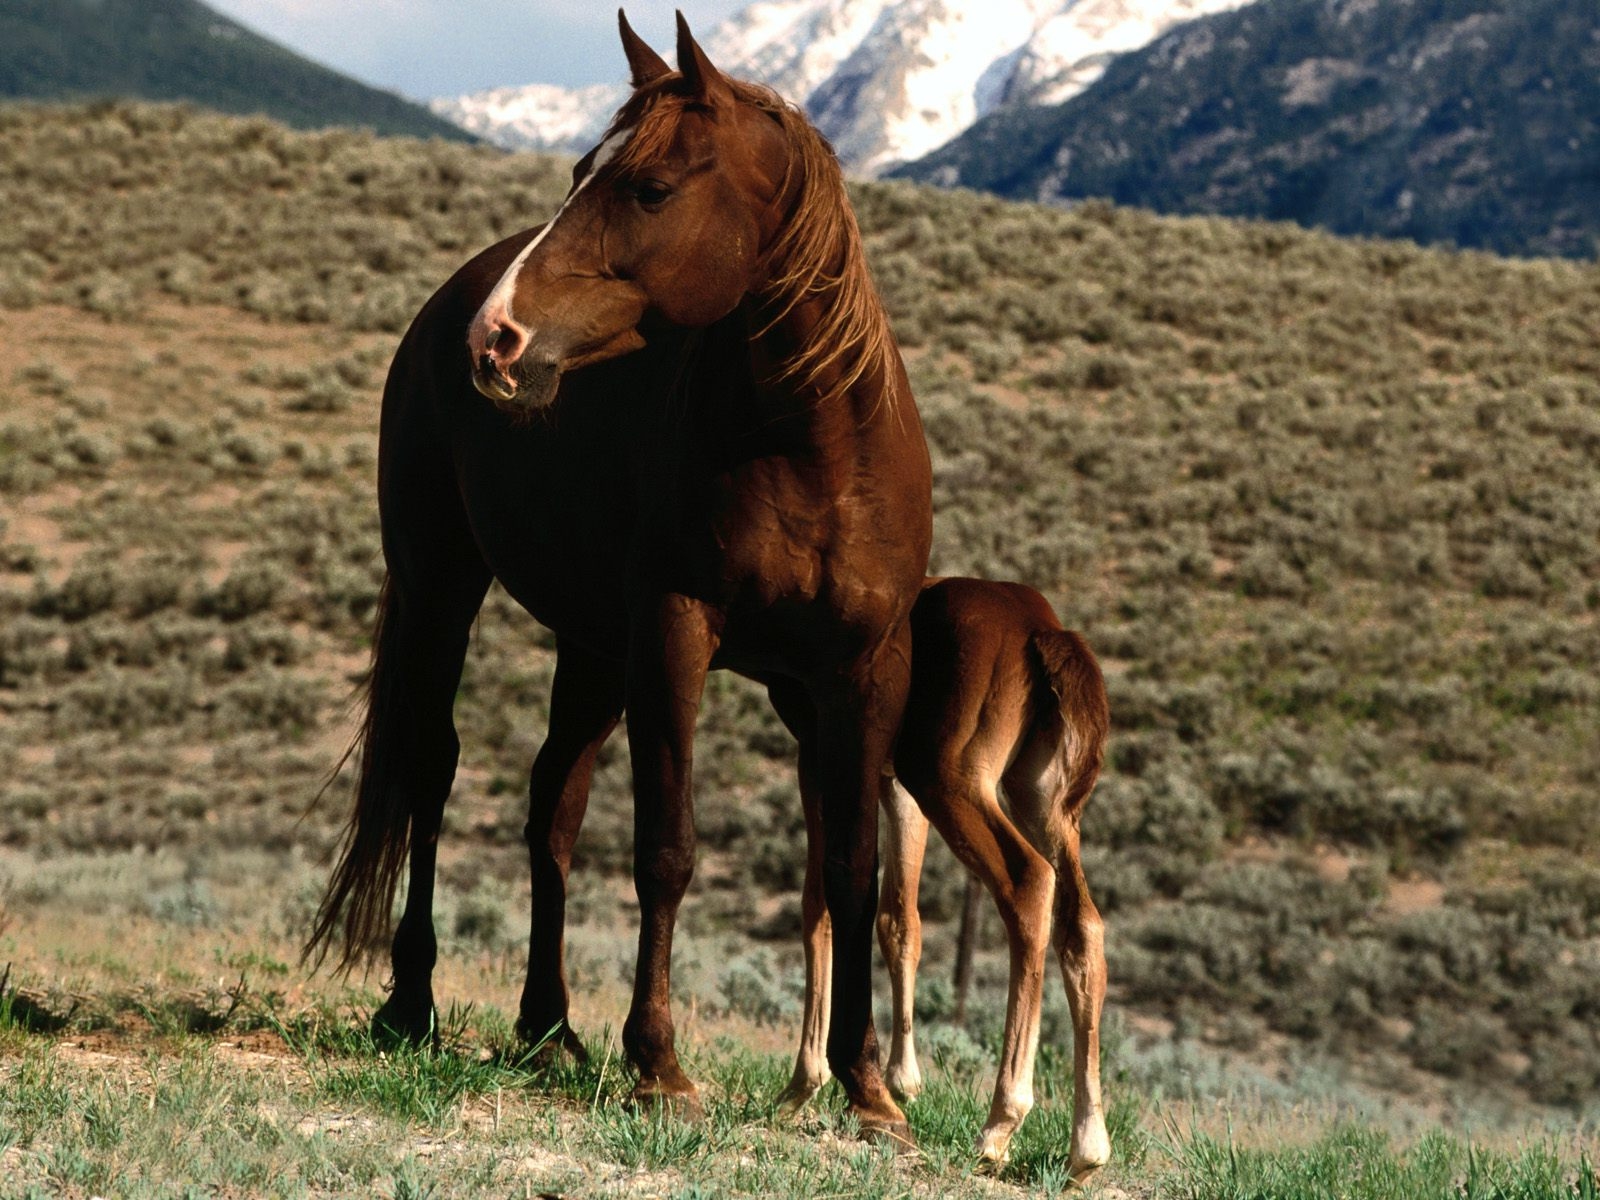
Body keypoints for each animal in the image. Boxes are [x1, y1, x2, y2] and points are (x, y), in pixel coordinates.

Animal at [304, 13, 932, 1142]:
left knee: (551, 806)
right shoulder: (675, 635)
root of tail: (445, 299)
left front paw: (866, 1091)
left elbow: (852, 871)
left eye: (648, 188)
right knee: (431, 766)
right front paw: (660, 1066)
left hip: (592, 649)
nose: (497, 339)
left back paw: (549, 1028)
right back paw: (412, 1002)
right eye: (579, 174)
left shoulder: (861, 671)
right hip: (441, 588)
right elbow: (665, 850)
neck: (811, 450)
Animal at [777, 578, 1112, 1179]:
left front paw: (801, 1087)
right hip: (1040, 801)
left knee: (1029, 882)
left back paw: (999, 1125)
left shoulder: (818, 755)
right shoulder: (891, 784)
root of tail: (1043, 630)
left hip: (951, 782)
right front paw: (900, 1084)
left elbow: (819, 905)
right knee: (1082, 926)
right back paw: (1086, 1150)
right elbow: (898, 920)